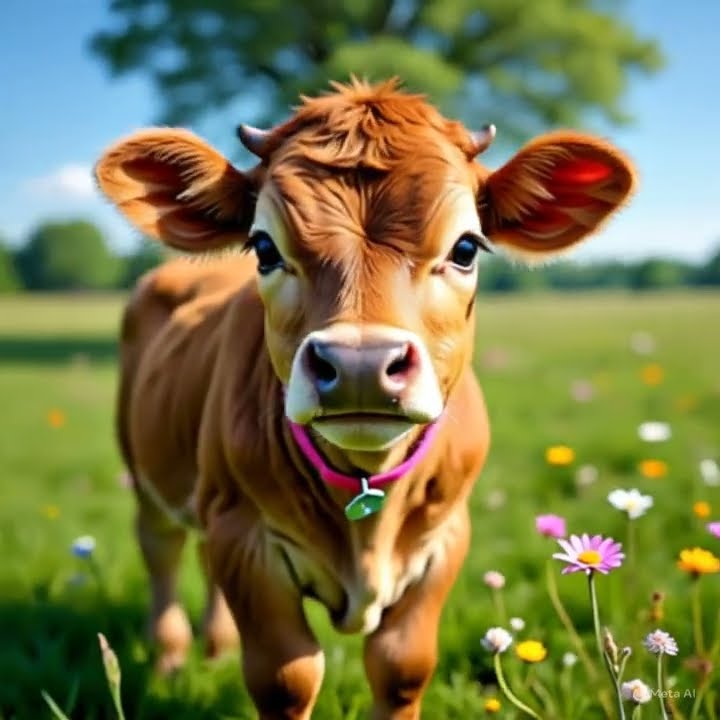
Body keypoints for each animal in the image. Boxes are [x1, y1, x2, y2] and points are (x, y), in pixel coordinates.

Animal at [95, 78, 636, 719]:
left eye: (466, 247)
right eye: (263, 247)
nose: (359, 366)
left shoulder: (444, 539)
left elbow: (402, 667)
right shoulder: (245, 538)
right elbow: (286, 677)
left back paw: (213, 649)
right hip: (147, 478)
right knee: (163, 551)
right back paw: (173, 661)